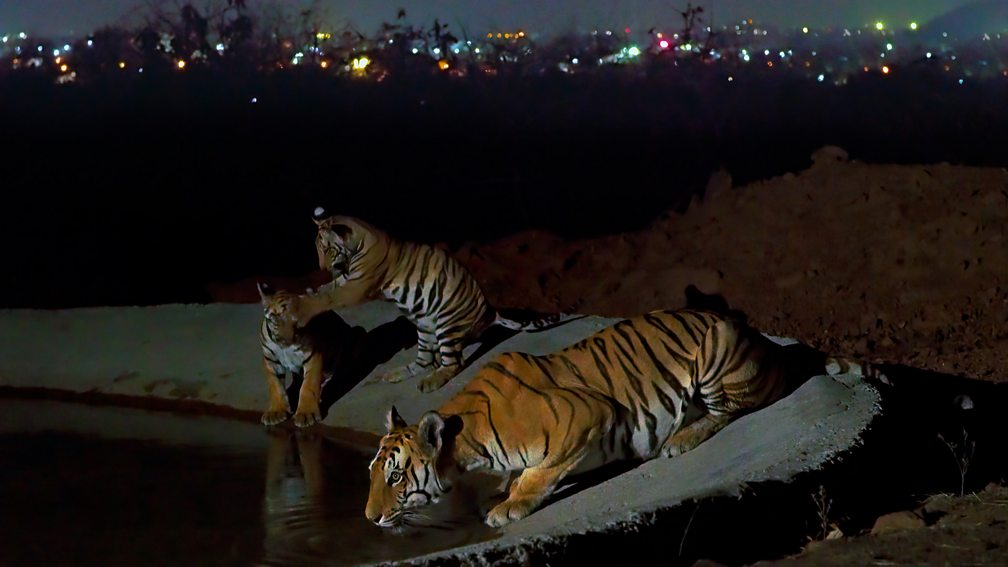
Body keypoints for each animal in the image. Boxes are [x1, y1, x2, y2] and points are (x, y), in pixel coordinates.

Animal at [258, 282, 364, 428]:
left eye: (298, 323)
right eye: (276, 319)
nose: (286, 340)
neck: (284, 348)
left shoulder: (313, 356)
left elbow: (308, 386)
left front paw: (306, 414)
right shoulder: (271, 359)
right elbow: (275, 385)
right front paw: (276, 412)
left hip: (358, 332)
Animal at [286, 207, 577, 393]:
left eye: (327, 249)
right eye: (318, 249)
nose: (322, 268)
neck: (359, 242)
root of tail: (488, 310)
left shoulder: (357, 286)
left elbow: (329, 297)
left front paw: (300, 307)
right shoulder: (348, 278)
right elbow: (327, 289)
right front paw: (307, 291)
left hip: (447, 324)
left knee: (453, 363)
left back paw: (432, 382)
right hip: (425, 326)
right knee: (424, 361)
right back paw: (397, 375)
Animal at [364, 308, 883, 528]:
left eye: (395, 477)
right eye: (373, 474)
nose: (369, 517)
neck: (466, 445)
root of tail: (762, 339)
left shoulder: (583, 415)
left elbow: (538, 473)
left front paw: (509, 504)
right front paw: (499, 491)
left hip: (715, 353)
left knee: (735, 407)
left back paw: (681, 438)